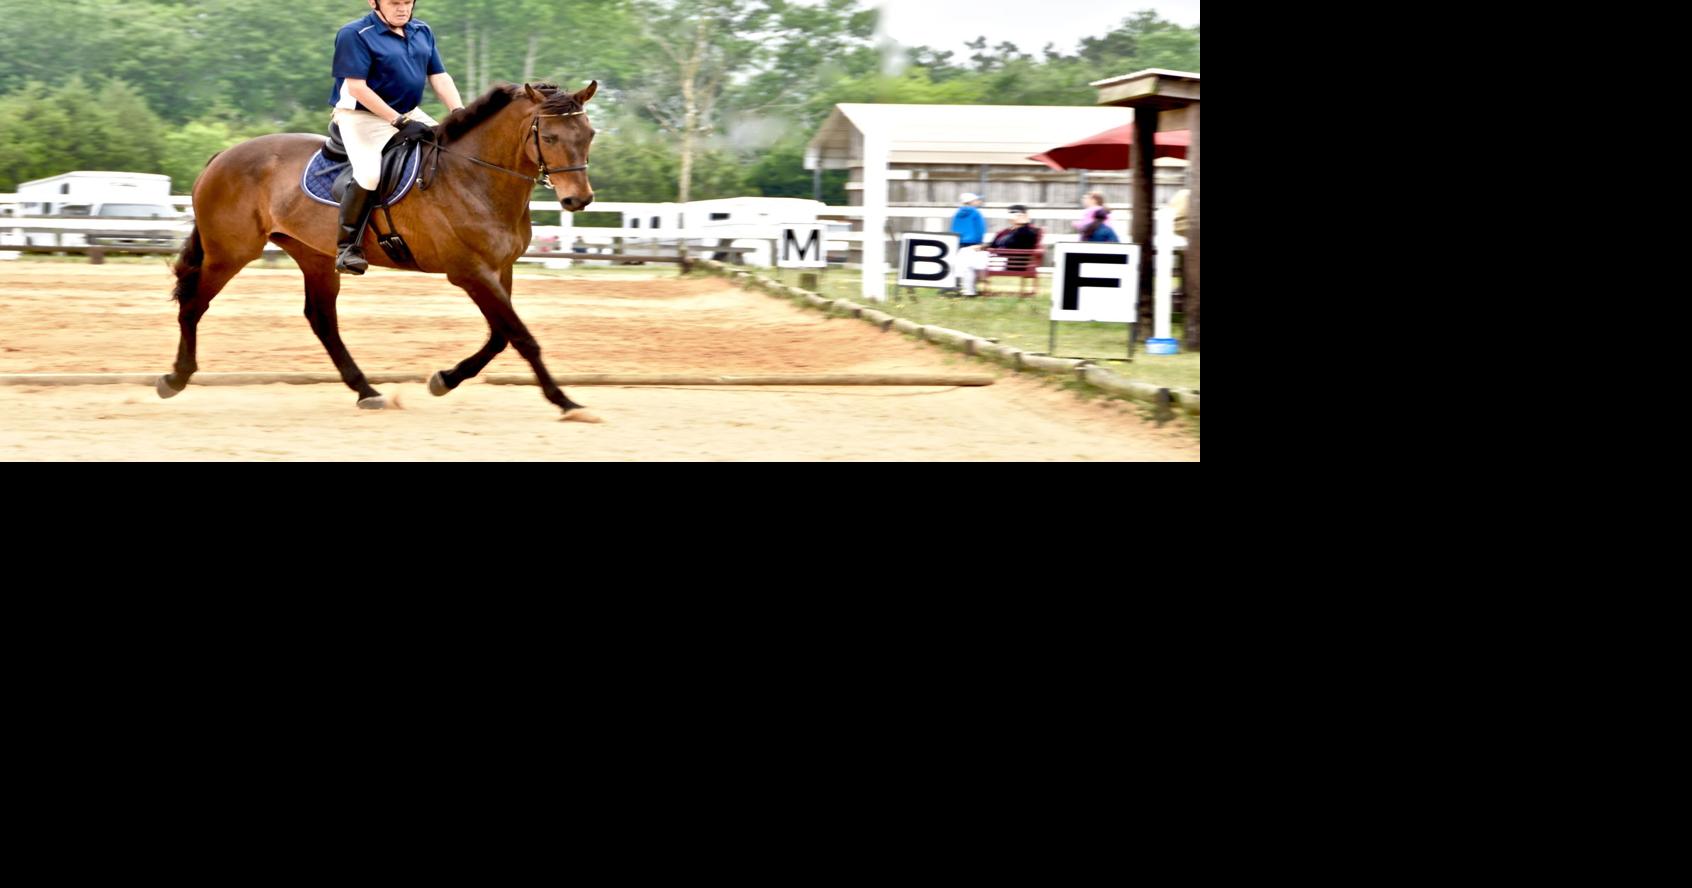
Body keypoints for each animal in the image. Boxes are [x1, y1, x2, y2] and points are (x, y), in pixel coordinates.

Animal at [157, 80, 602, 422]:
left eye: (589, 135)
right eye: (549, 137)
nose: (578, 200)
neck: (475, 176)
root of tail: (223, 156)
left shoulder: (498, 269)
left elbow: (499, 337)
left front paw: (444, 379)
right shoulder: (470, 272)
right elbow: (521, 337)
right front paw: (565, 401)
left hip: (314, 256)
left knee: (322, 320)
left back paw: (366, 391)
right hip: (229, 253)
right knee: (194, 305)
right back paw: (175, 378)